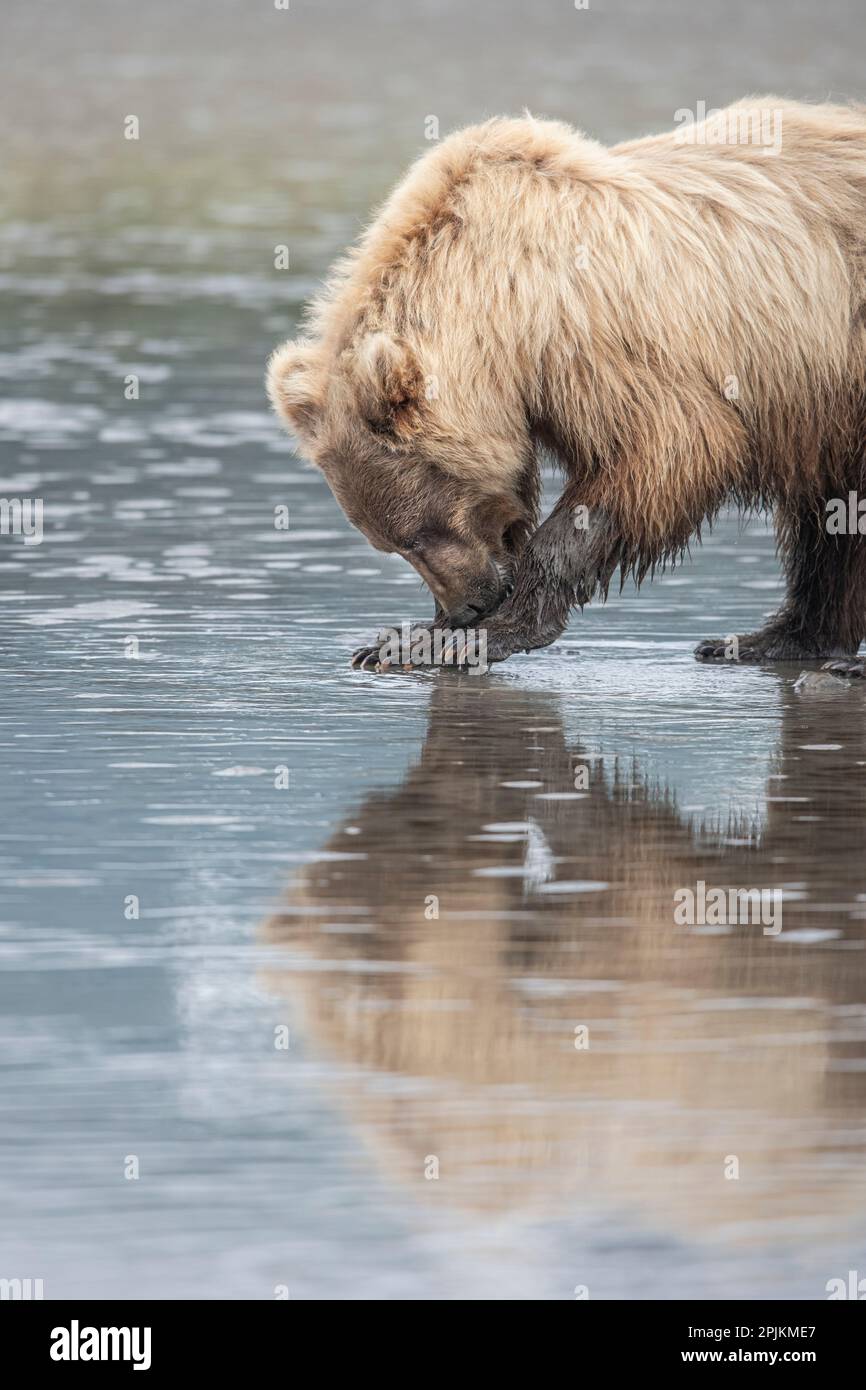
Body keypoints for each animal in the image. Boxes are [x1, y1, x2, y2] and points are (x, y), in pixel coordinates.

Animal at [267, 98, 866, 672]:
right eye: (390, 545)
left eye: (418, 533)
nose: (466, 606)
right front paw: (402, 638)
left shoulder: (596, 337)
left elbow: (662, 450)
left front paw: (486, 633)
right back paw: (775, 638)